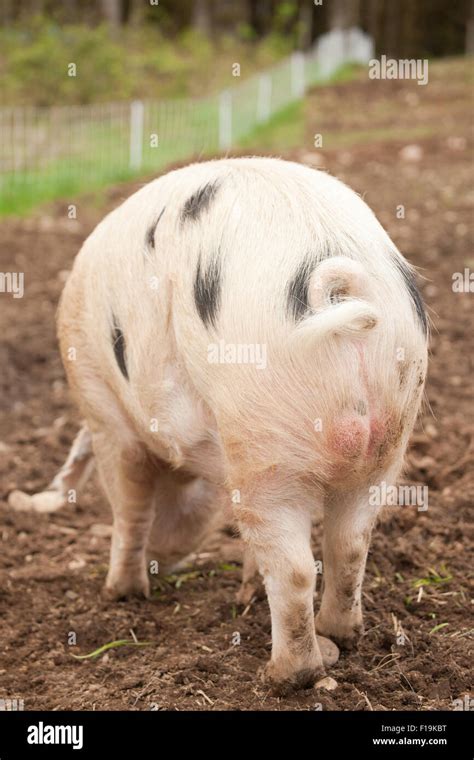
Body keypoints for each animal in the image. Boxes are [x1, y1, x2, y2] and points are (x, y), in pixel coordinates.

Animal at [10, 157, 428, 694]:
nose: (165, 557)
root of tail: (339, 284)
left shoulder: (105, 414)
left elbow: (129, 506)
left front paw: (121, 593)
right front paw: (244, 592)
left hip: (264, 442)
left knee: (295, 570)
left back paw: (283, 675)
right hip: (388, 443)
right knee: (350, 543)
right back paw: (340, 636)